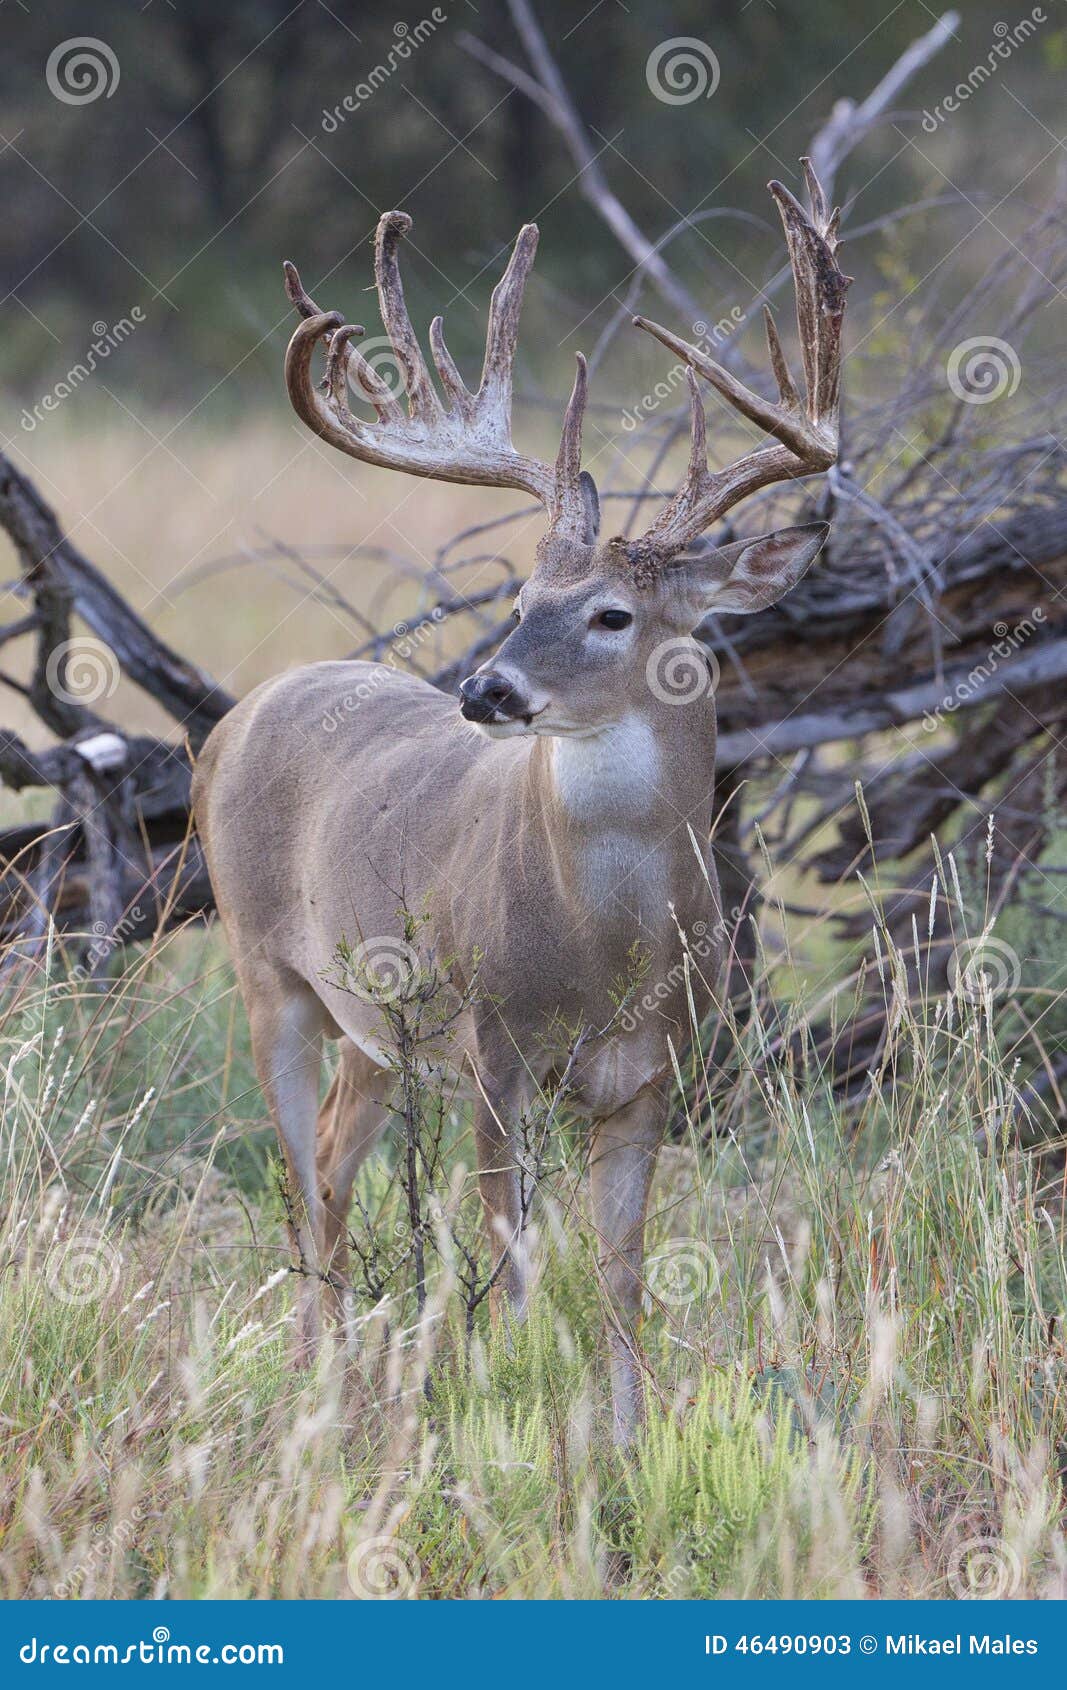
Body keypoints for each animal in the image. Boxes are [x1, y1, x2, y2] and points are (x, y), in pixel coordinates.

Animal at [191, 161, 848, 1442]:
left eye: (610, 613)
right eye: (517, 601)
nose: (483, 689)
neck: (602, 946)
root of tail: (238, 714)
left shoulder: (651, 1073)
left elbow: (623, 1267)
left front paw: (626, 1438)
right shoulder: (492, 1051)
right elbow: (514, 1258)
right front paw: (515, 1415)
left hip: (375, 1025)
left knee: (335, 1159)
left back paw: (335, 1381)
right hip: (265, 972)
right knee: (299, 1178)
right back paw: (312, 1388)